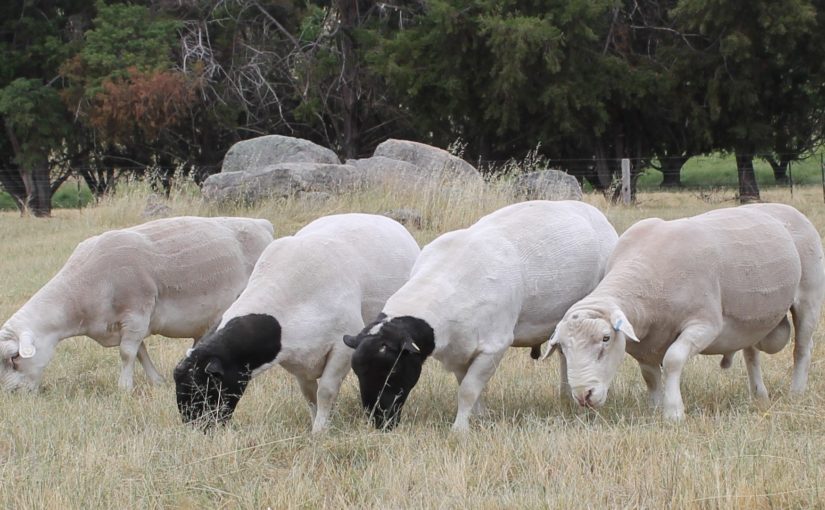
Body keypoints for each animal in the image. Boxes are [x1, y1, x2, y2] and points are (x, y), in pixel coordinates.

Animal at [0, 216, 274, 391]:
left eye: (14, 357)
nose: (11, 393)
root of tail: (263, 225)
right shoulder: (129, 324)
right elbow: (140, 352)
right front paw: (157, 381)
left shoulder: (136, 313)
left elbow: (127, 353)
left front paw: (124, 388)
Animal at [172, 213, 420, 433]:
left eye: (203, 388)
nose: (199, 430)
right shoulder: (298, 360)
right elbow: (309, 395)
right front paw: (317, 422)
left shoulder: (343, 346)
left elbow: (325, 391)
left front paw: (319, 431)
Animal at [342, 200, 619, 431]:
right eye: (357, 372)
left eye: (391, 371)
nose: (380, 421)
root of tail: (591, 210)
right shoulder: (458, 350)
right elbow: (466, 385)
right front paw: (479, 417)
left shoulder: (494, 346)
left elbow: (467, 390)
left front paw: (460, 429)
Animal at [548, 203, 825, 421]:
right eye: (563, 347)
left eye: (606, 338)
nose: (583, 395)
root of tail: (787, 208)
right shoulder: (642, 344)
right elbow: (649, 376)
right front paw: (655, 408)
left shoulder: (705, 325)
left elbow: (672, 360)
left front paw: (673, 412)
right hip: (751, 319)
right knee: (751, 354)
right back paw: (759, 395)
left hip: (809, 296)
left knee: (802, 348)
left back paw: (796, 392)